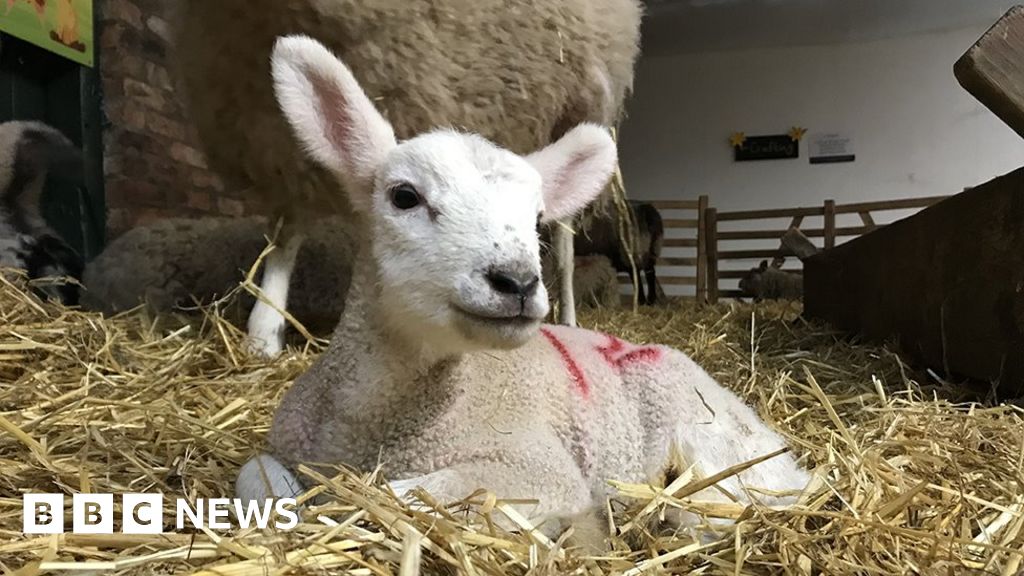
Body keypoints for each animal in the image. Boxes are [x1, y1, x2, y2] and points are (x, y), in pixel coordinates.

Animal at [169, 0, 642, 356]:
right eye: (405, 197)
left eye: (534, 213)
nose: (517, 285)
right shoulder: (271, 136)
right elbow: (287, 230)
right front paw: (264, 332)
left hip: (577, 103)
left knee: (564, 242)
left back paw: (569, 317)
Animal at [236, 37, 810, 548]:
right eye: (403, 196)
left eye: (537, 219)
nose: (517, 282)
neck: (372, 420)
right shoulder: (286, 447)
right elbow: (258, 482)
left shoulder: (537, 466)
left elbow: (392, 496)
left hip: (712, 437)